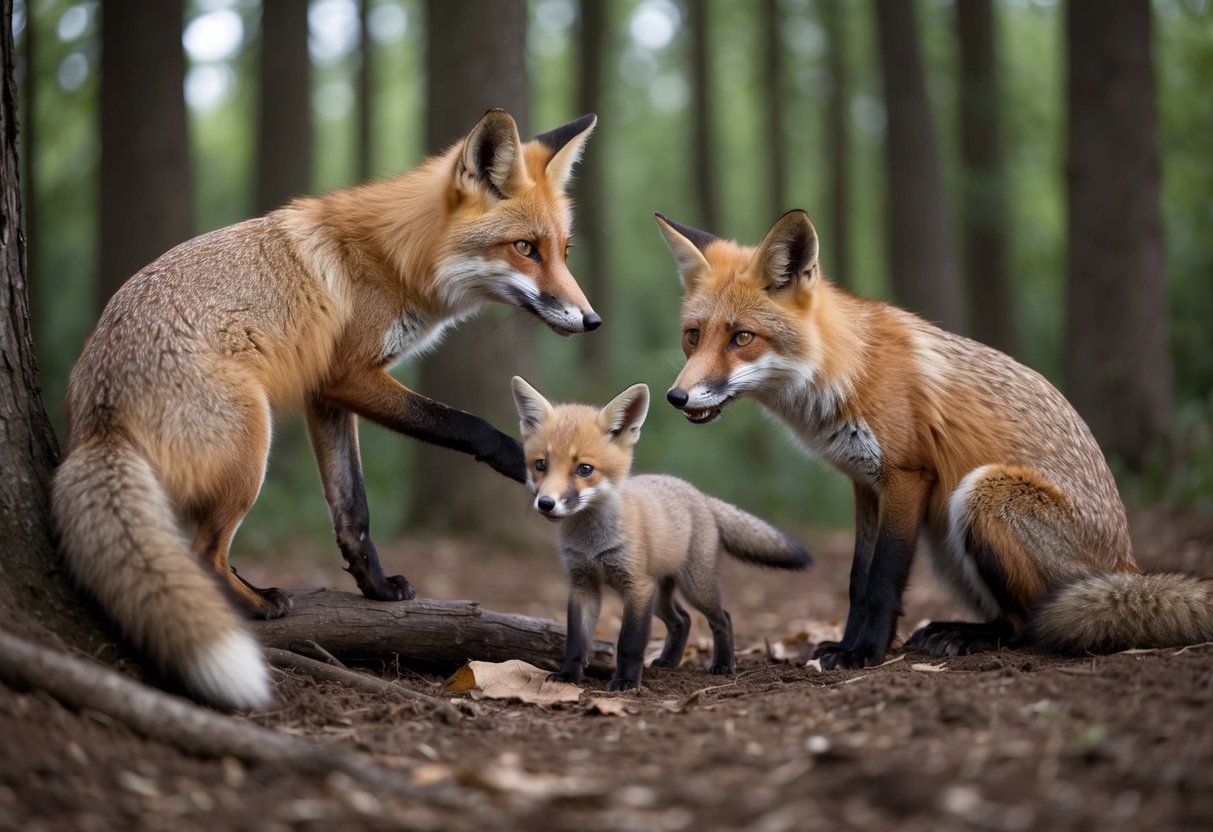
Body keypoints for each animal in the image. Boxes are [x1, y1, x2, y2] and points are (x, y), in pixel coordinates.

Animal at [51, 109, 601, 710]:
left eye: (565, 251)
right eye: (525, 247)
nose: (592, 320)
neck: (398, 259)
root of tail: (98, 410)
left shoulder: (324, 394)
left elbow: (351, 507)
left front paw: (375, 588)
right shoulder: (350, 375)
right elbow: (463, 423)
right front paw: (518, 458)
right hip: (254, 444)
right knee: (203, 553)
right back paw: (256, 601)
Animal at [510, 376, 811, 691]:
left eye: (584, 469)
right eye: (541, 465)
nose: (546, 503)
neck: (593, 544)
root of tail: (698, 495)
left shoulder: (637, 588)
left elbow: (629, 644)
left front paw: (626, 682)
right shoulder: (583, 586)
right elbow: (576, 641)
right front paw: (569, 676)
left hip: (693, 587)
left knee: (722, 618)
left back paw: (723, 664)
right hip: (660, 595)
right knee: (683, 620)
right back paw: (669, 660)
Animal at [654, 209, 1213, 670]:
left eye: (742, 338)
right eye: (692, 336)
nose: (676, 397)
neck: (846, 370)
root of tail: (1127, 566)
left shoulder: (906, 476)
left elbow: (882, 581)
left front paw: (864, 653)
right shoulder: (865, 484)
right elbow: (857, 580)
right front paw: (844, 645)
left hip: (980, 494)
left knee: (1032, 623)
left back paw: (969, 638)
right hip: (945, 536)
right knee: (1014, 617)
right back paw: (955, 630)